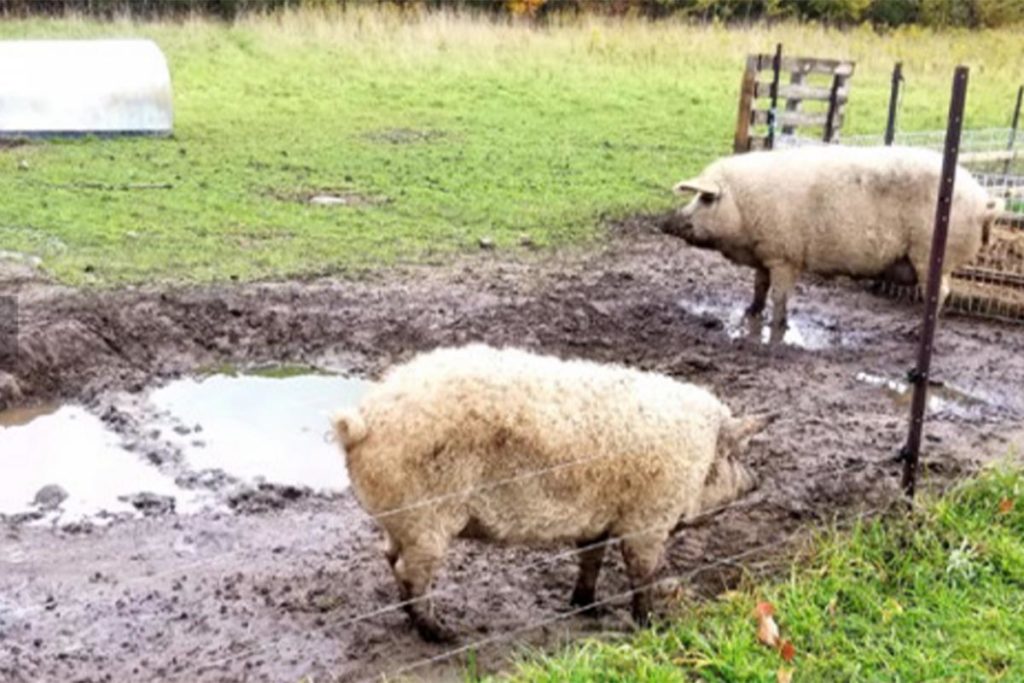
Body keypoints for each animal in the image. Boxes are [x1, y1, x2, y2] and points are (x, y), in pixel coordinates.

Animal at [331, 344, 771, 642]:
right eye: (734, 454)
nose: (757, 480)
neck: (696, 456)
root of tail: (362, 421)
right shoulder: (647, 520)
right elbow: (642, 573)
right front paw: (651, 626)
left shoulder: (600, 519)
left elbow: (590, 558)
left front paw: (589, 609)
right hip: (428, 519)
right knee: (412, 572)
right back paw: (445, 634)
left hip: (402, 522)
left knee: (390, 557)